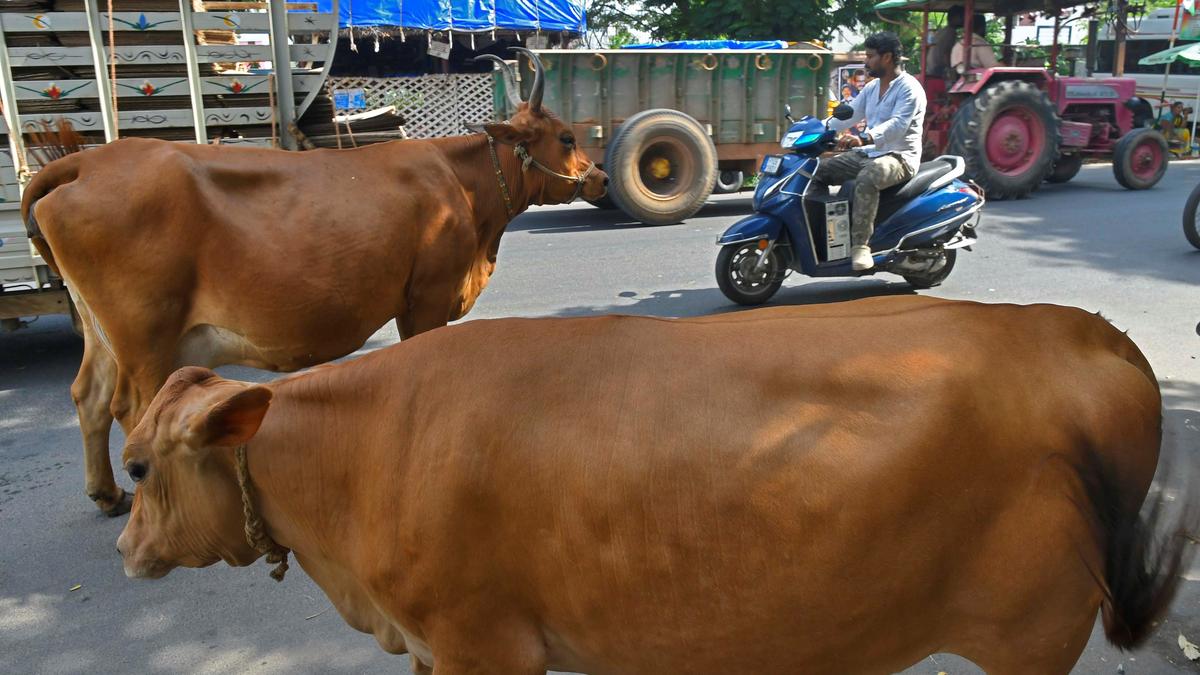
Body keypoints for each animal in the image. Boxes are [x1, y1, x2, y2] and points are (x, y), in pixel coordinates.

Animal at [20, 49, 607, 517]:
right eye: (566, 136)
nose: (600, 177)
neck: (461, 181)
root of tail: (87, 162)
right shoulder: (428, 295)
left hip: (105, 335)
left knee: (89, 397)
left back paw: (107, 495)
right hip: (145, 336)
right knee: (131, 408)